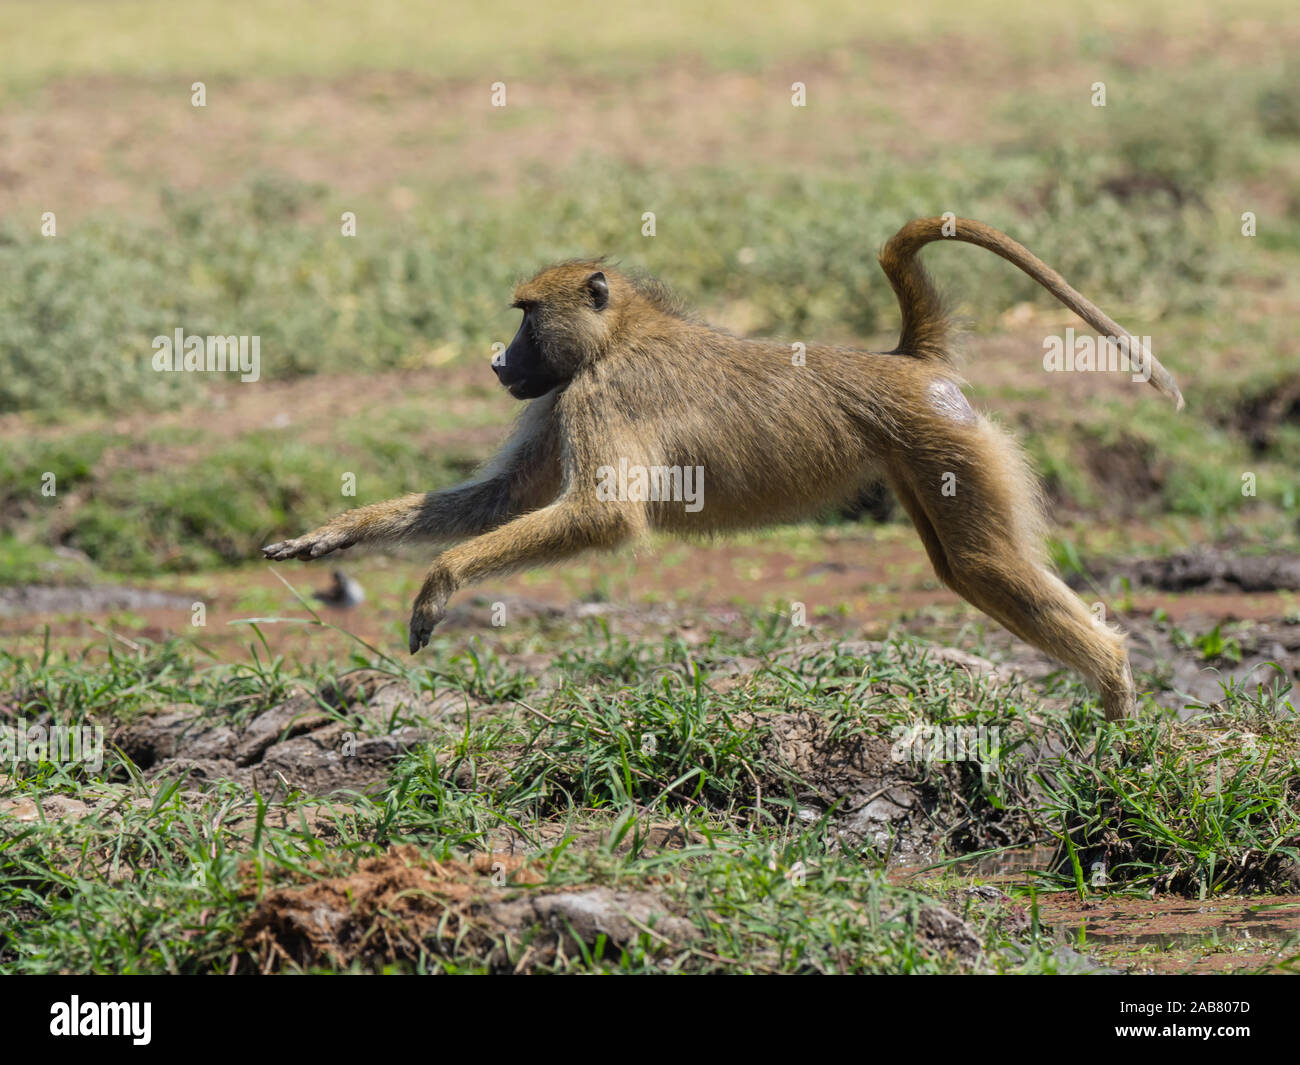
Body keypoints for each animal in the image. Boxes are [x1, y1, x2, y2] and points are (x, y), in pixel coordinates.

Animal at [263, 216, 1184, 721]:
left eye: (526, 316)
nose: (498, 362)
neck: (622, 333)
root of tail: (907, 363)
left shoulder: (598, 395)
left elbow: (604, 517)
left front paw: (437, 585)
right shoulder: (561, 400)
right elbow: (498, 498)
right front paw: (326, 536)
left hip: (949, 445)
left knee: (986, 566)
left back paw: (1115, 695)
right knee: (966, 569)